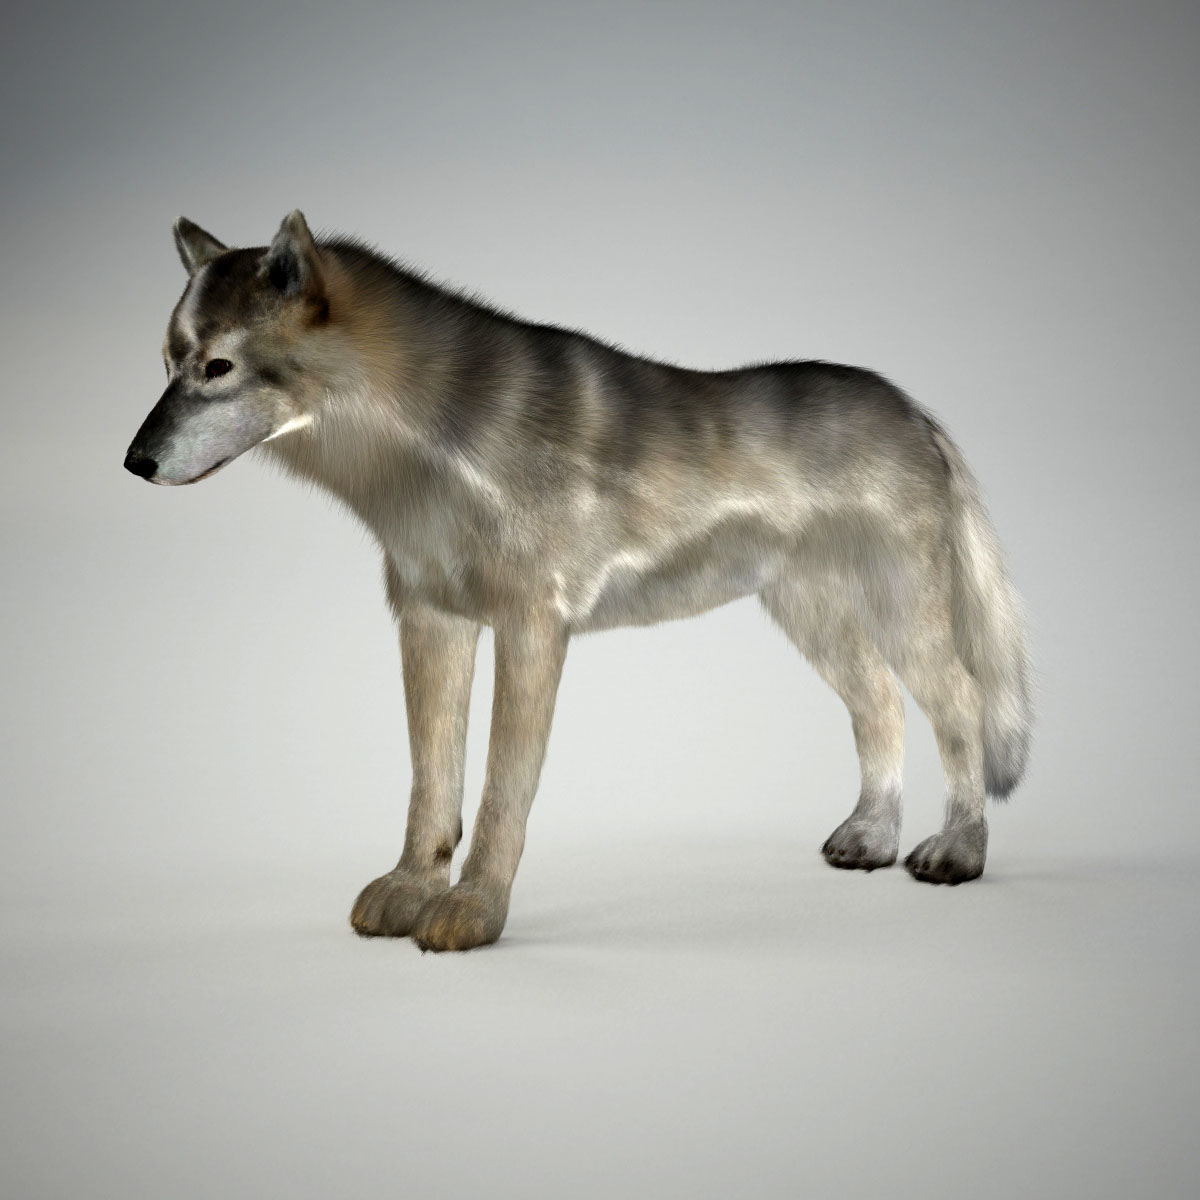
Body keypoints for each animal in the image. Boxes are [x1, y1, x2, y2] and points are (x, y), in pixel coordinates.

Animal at [125, 211, 1033, 951]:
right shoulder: (430, 620)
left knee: (960, 708)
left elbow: (499, 797)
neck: (426, 455)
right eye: (167, 363)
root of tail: (915, 410)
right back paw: (871, 838)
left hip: (901, 616)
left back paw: (958, 852)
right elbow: (432, 787)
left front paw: (473, 912)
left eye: (218, 367)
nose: (134, 462)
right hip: (813, 619)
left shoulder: (532, 627)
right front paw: (411, 892)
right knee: (880, 707)